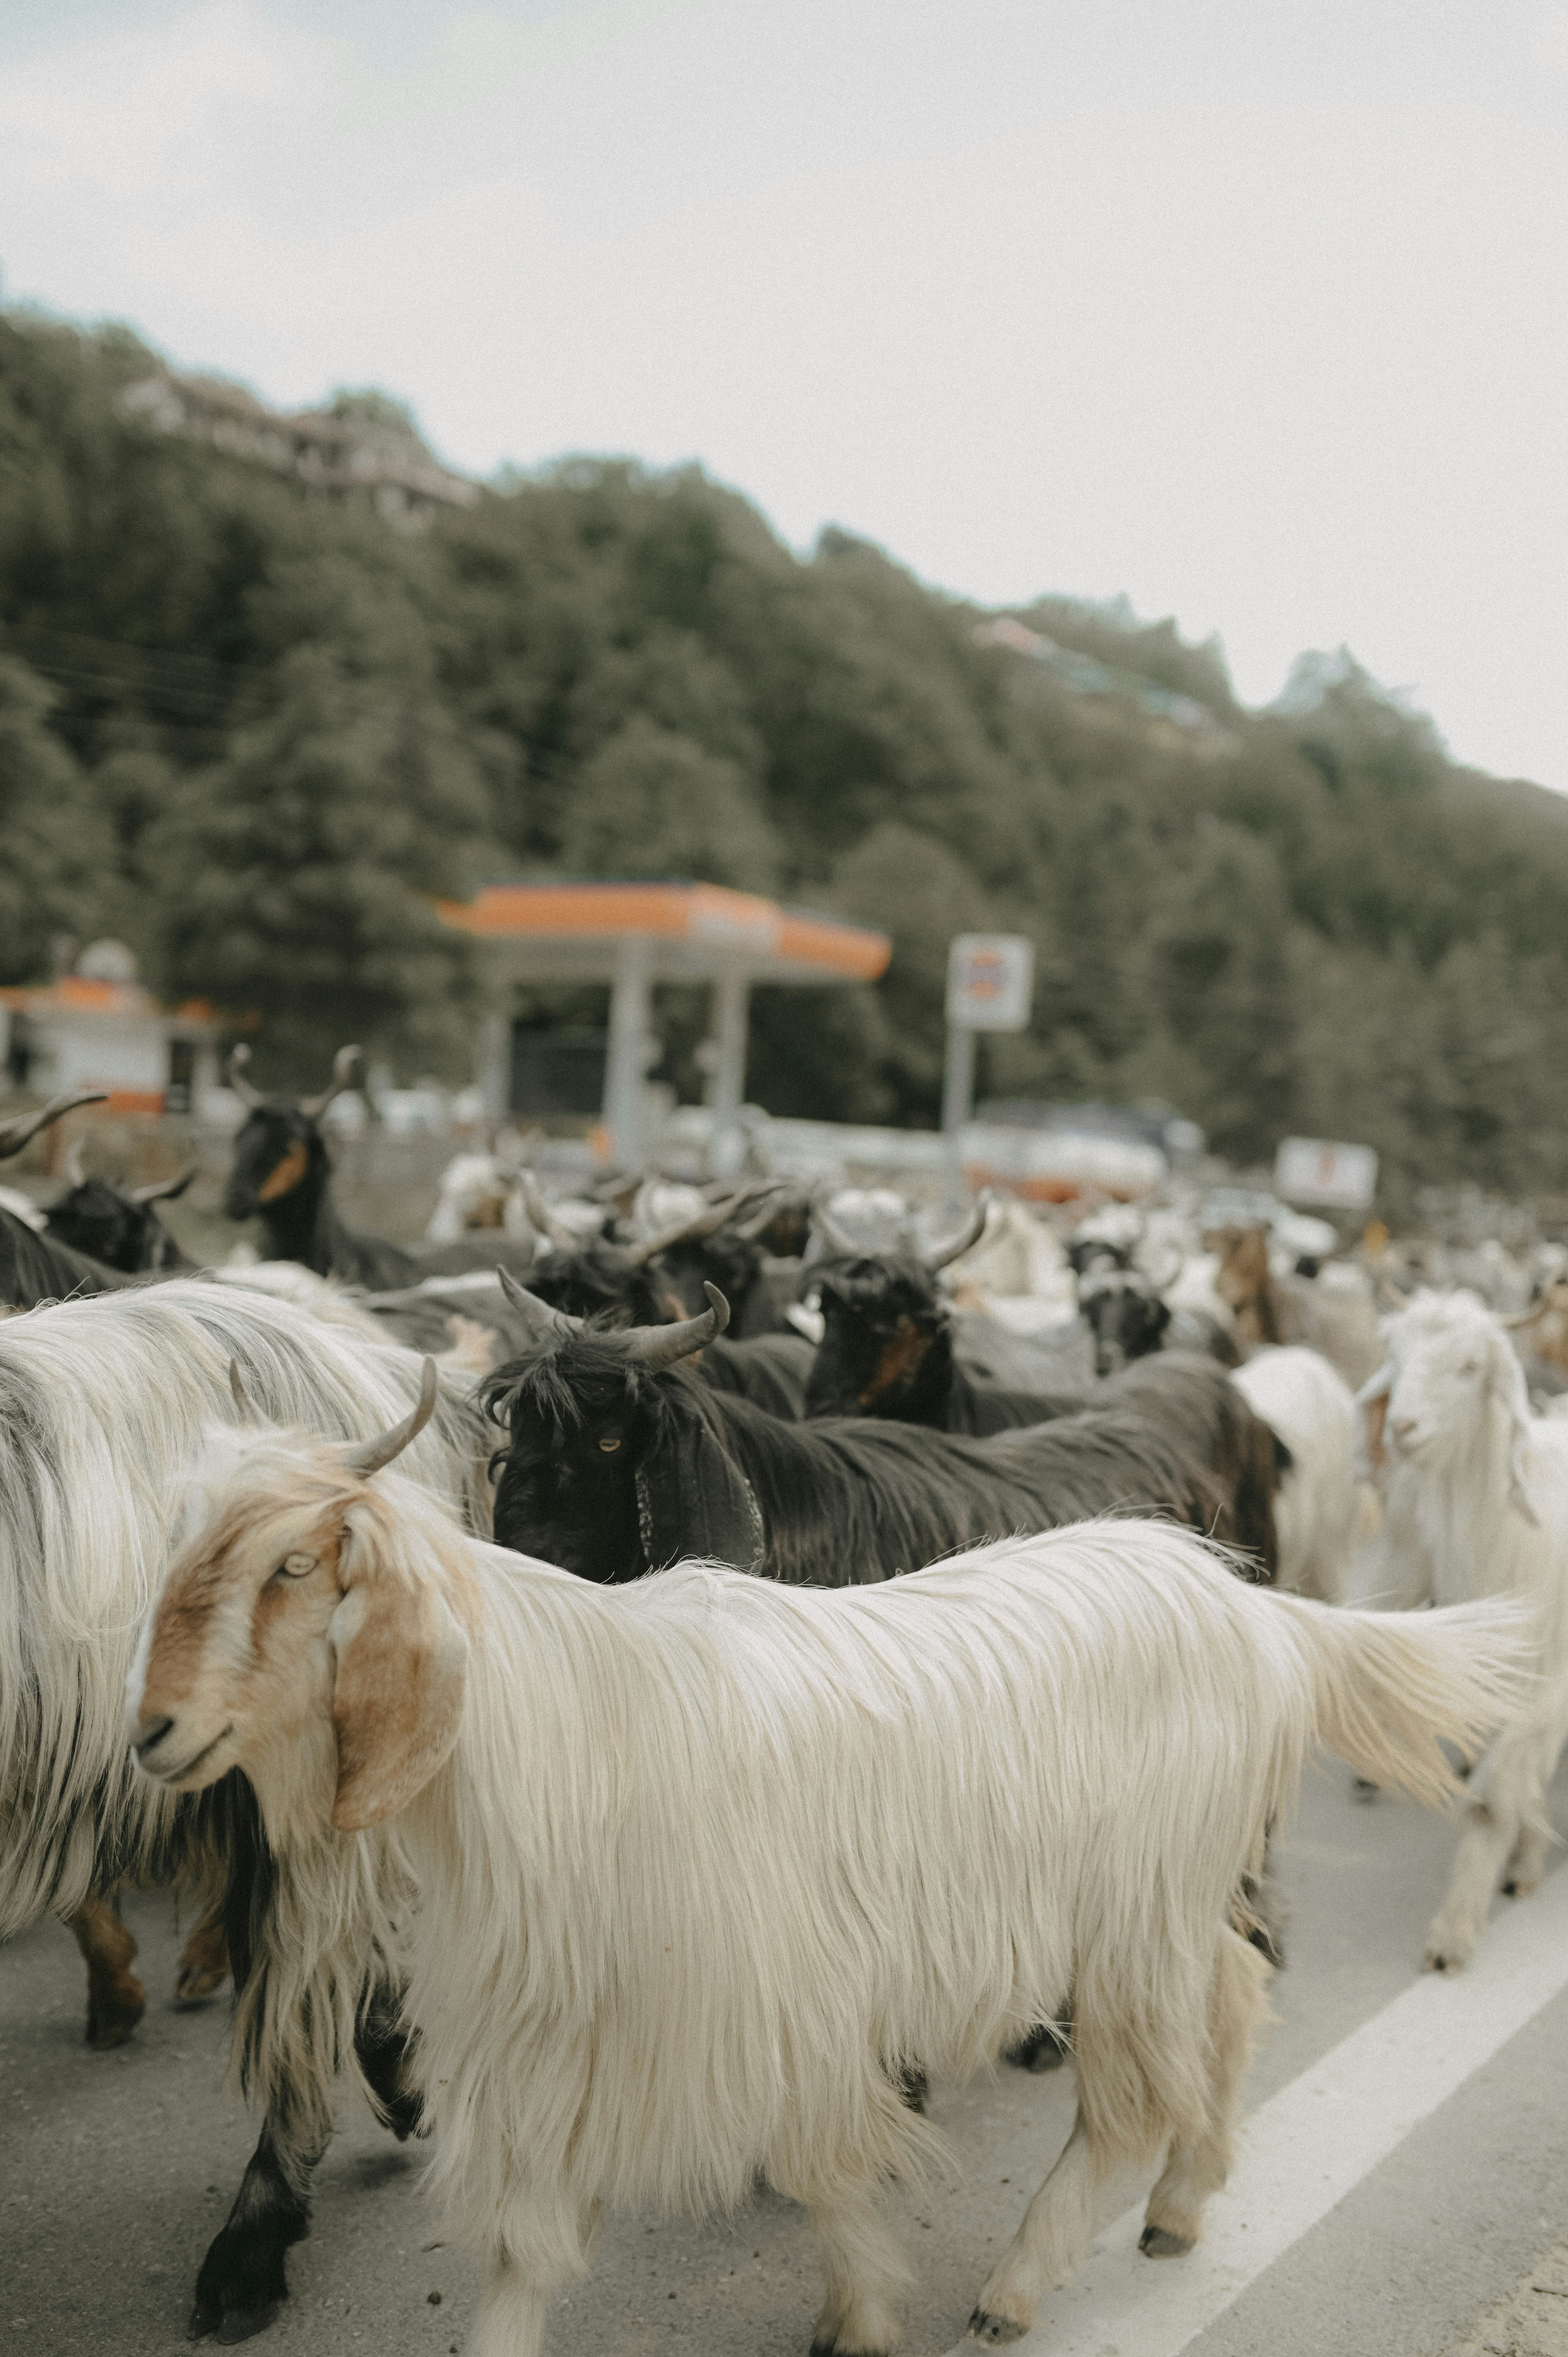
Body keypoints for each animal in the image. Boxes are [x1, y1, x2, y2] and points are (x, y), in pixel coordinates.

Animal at [129, 1397, 1524, 2357]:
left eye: (293, 1567)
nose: (152, 1734)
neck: (575, 1727)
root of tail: (1250, 1607)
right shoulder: (569, 2036)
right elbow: (525, 2248)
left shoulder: (769, 2003)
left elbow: (819, 2166)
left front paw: (861, 2315)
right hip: (1170, 1905)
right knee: (1233, 1997)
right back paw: (1183, 2204)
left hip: (1137, 1913)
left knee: (1136, 2094)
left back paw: (1020, 2283)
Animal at [1355, 1289, 1568, 1971]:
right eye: (1395, 1357)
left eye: (1471, 1368)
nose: (1401, 1428)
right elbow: (1510, 1787)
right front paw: (1518, 1866)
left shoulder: (1547, 1681)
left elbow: (1491, 1800)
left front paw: (1453, 1935)